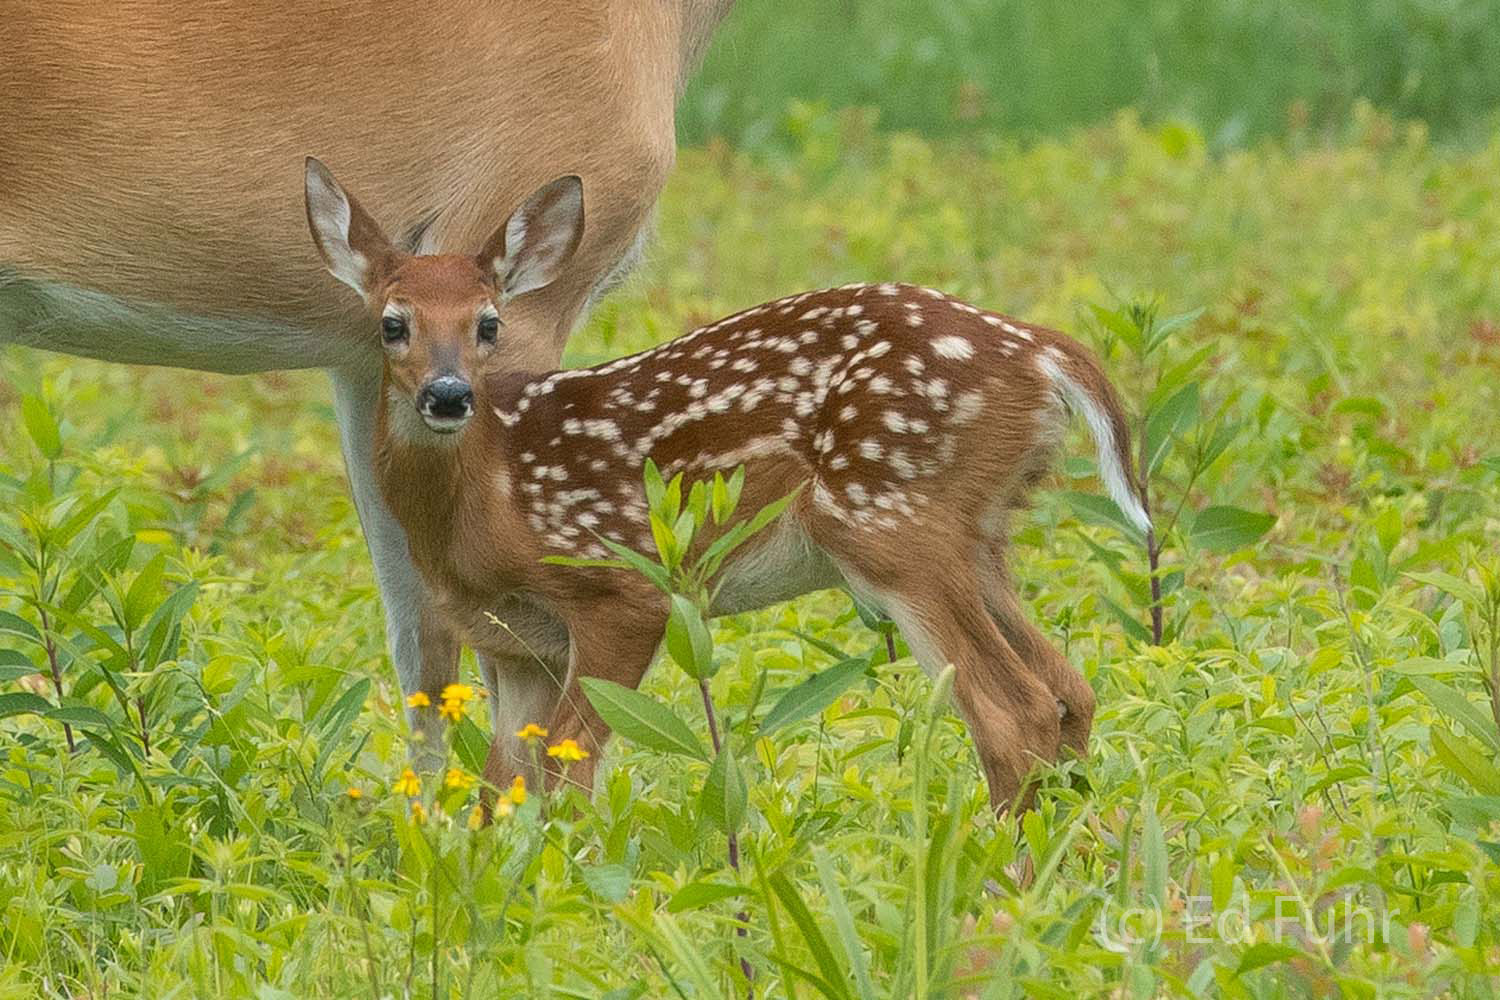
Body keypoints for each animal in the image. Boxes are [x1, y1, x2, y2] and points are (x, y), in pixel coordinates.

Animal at [304, 159, 1152, 814]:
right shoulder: (517, 644)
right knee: (1071, 690)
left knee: (1015, 712)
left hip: (889, 517)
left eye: (489, 323)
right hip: (978, 533)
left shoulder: (622, 589)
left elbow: (565, 774)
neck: (495, 494)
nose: (448, 395)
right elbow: (499, 791)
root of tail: (1041, 350)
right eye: (392, 324)